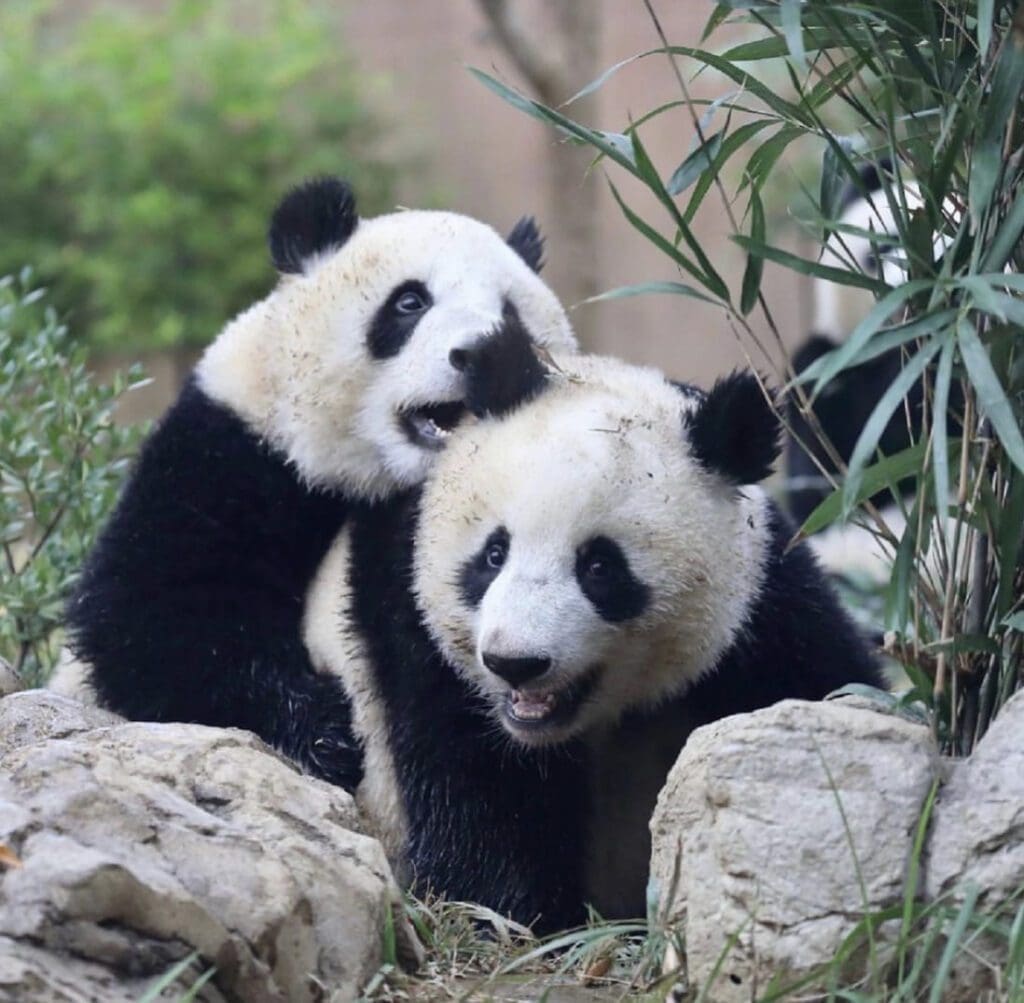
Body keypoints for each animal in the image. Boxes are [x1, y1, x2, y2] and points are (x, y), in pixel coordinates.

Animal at [63, 176, 576, 790]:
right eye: (410, 302)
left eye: (511, 315)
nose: (478, 352)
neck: (371, 473)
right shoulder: (230, 449)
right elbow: (153, 614)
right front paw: (323, 733)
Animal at [304, 353, 883, 932]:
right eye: (493, 554)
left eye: (600, 566)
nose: (516, 663)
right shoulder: (418, 625)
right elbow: (478, 802)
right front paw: (523, 918)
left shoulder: (763, 604)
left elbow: (824, 684)